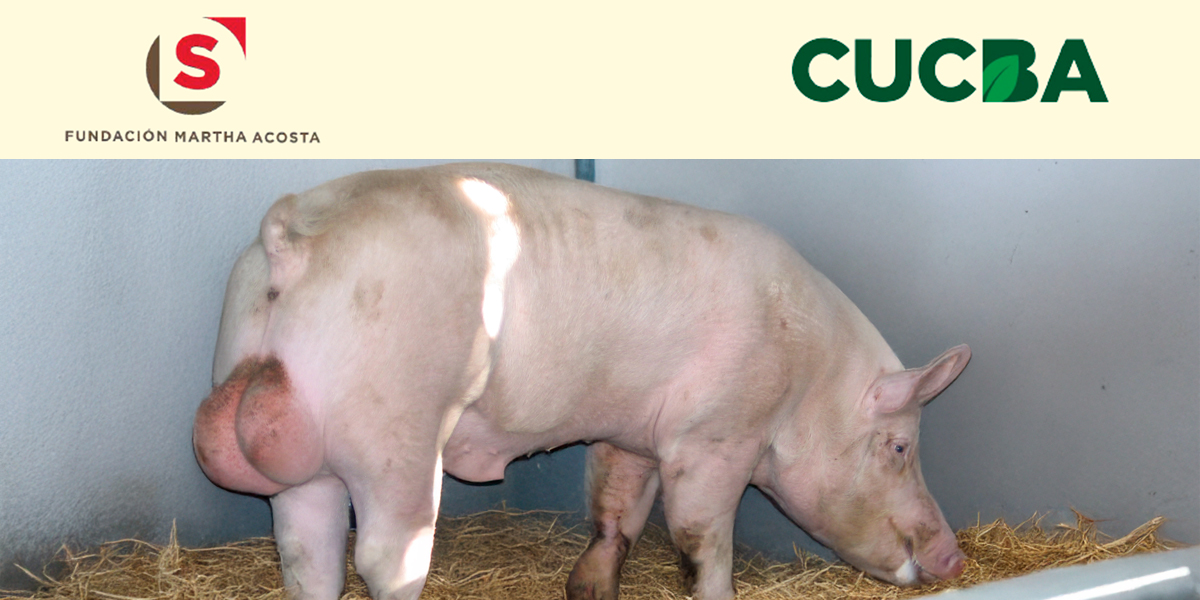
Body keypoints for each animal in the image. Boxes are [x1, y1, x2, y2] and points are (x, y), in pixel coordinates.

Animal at [193, 163, 971, 600]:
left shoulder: (631, 433)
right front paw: (718, 587)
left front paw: (589, 590)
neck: (806, 379)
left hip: (299, 444)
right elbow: (700, 536)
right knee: (385, 558)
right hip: (395, 430)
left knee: (306, 555)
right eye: (901, 447)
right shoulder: (714, 435)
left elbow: (617, 507)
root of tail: (289, 238)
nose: (954, 554)